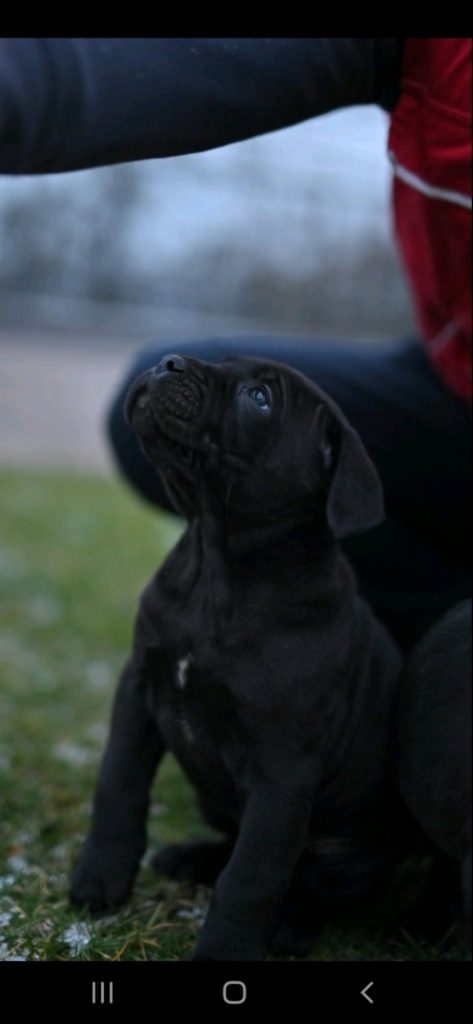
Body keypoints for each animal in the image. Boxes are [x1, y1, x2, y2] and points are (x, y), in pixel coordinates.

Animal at [70, 354, 403, 958]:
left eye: (260, 399)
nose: (170, 361)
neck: (215, 571)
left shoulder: (283, 771)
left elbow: (253, 875)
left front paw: (225, 949)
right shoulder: (139, 688)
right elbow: (118, 785)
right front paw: (100, 879)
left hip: (349, 848)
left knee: (317, 884)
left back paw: (292, 923)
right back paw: (189, 858)